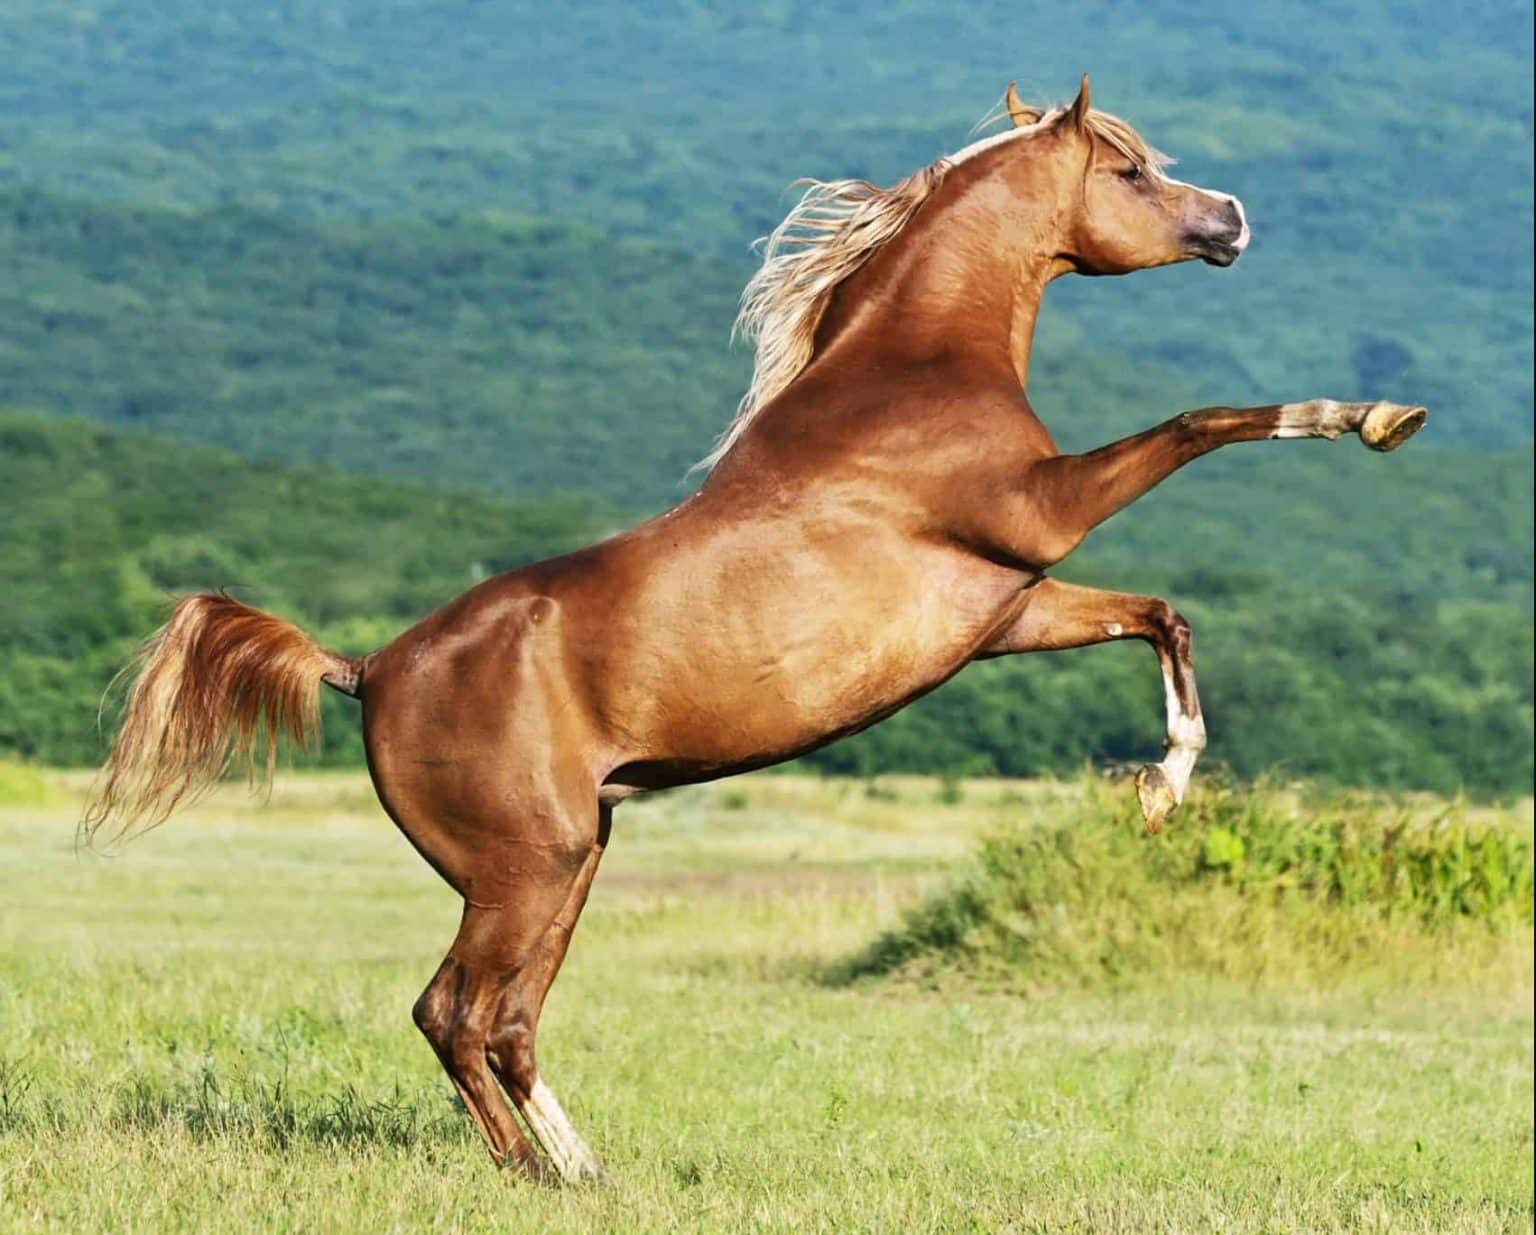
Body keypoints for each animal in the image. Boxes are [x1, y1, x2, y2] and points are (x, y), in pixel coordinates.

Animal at [83, 77, 1426, 1184]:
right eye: (1134, 170)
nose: (1233, 219)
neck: (910, 378)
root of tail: (366, 668)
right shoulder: (1045, 513)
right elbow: (1203, 420)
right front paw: (1372, 417)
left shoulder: (1010, 606)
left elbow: (1160, 616)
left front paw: (1161, 785)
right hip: (527, 867)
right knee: (457, 1012)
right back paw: (545, 1174)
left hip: (570, 861)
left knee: (499, 1020)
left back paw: (580, 1170)